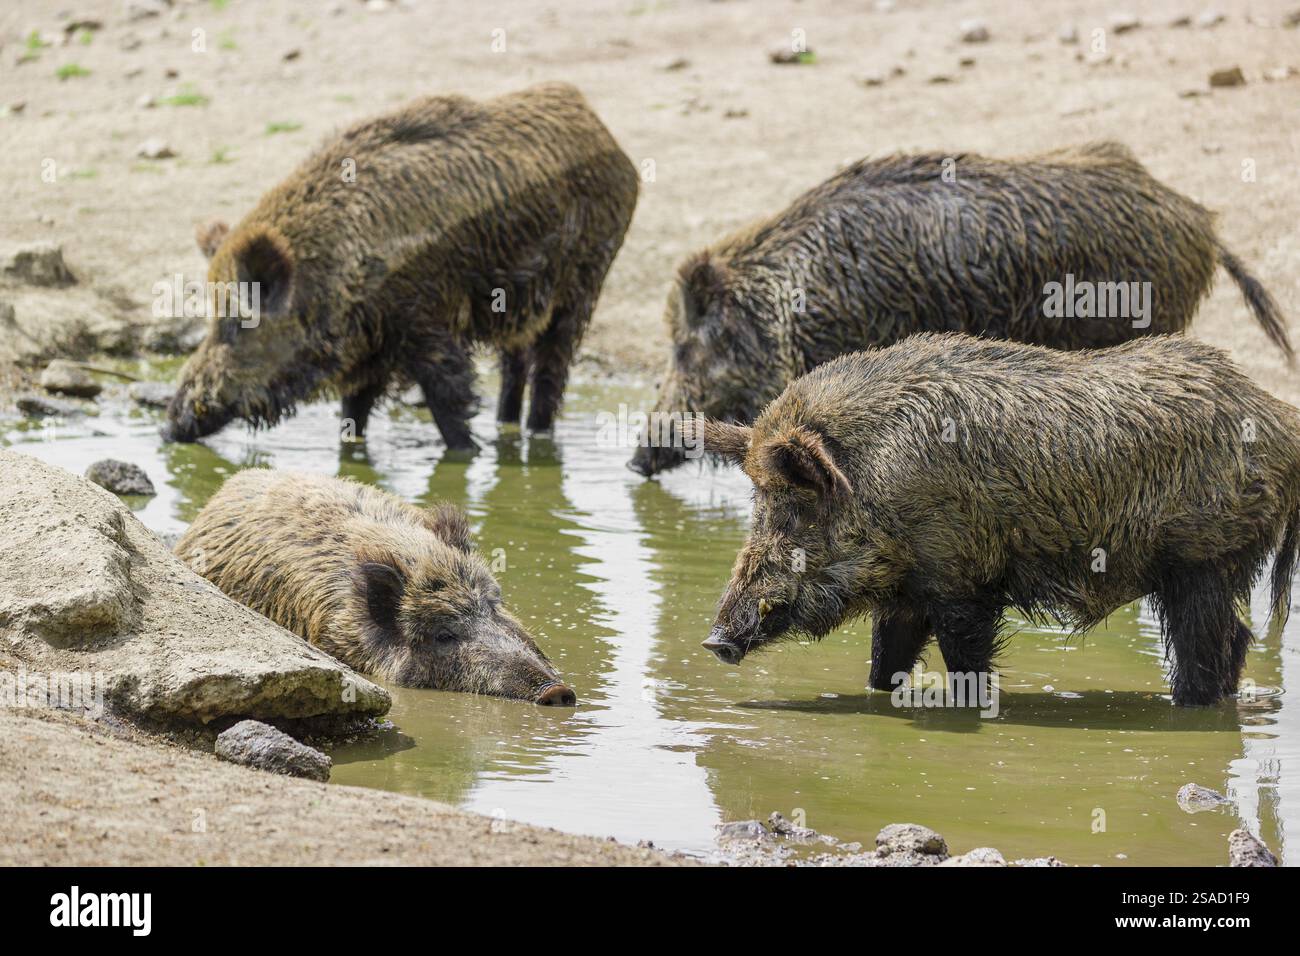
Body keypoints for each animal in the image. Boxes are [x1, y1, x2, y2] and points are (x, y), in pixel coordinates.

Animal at [165, 82, 638, 450]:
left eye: (234, 325)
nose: (171, 424)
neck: (341, 270)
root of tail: (600, 127)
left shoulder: (426, 324)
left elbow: (449, 400)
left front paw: (467, 451)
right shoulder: (367, 351)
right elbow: (353, 412)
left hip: (587, 278)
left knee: (552, 368)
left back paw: (537, 435)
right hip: (517, 300)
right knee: (514, 361)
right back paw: (505, 427)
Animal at [692, 332, 1300, 707]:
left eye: (795, 510)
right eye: (757, 505)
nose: (714, 641)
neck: (879, 475)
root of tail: (1275, 415)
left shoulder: (963, 580)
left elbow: (967, 662)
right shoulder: (909, 590)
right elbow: (885, 662)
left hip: (1204, 560)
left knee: (1209, 647)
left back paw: (1188, 706)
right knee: (1238, 640)